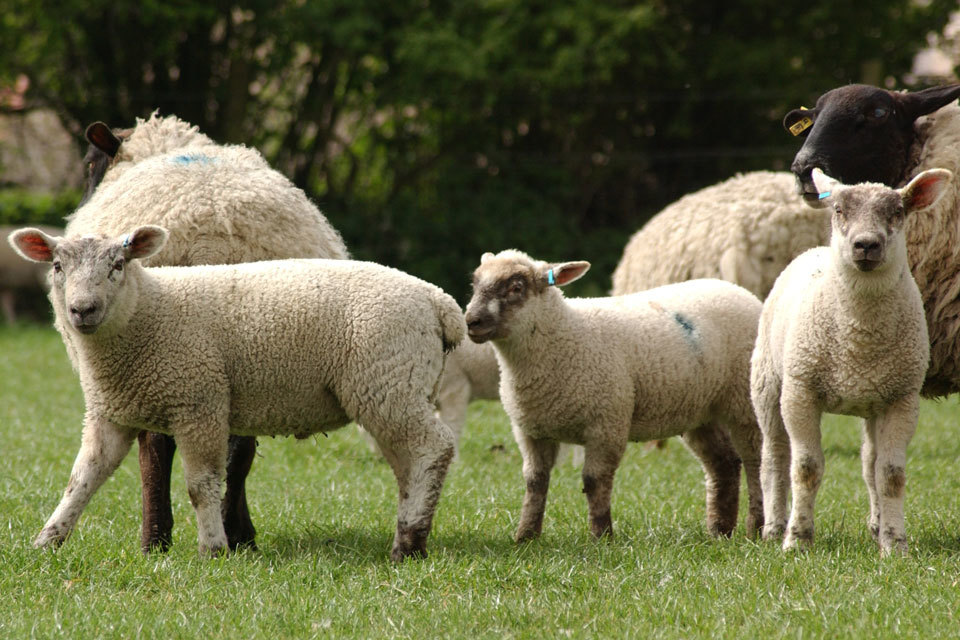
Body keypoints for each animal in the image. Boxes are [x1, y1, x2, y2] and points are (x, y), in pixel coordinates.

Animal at [10, 225, 463, 561]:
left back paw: (409, 545)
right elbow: (82, 478)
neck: (147, 312)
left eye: (118, 264)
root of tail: (438, 301)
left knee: (433, 449)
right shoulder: (111, 412)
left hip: (389, 381)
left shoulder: (200, 402)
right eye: (57, 266)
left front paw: (213, 549)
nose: (82, 310)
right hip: (395, 388)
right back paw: (409, 532)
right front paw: (47, 540)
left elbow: (202, 485)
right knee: (409, 465)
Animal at [70, 112, 350, 553]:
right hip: (255, 358)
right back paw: (238, 534)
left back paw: (156, 538)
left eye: (89, 164)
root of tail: (211, 235)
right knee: (239, 448)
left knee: (156, 447)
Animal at [464, 250, 764, 541]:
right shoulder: (530, 432)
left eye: (516, 287)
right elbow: (535, 481)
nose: (471, 321)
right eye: (475, 285)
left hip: (744, 403)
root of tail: (737, 290)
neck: (564, 335)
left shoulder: (607, 424)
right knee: (723, 463)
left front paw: (601, 537)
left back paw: (756, 528)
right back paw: (720, 530)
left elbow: (594, 480)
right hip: (701, 411)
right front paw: (525, 537)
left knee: (755, 462)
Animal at [751, 168, 950, 556]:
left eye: (897, 212)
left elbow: (890, 475)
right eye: (839, 210)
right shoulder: (800, 392)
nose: (866, 245)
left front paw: (894, 544)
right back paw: (774, 526)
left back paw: (876, 526)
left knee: (869, 462)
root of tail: (812, 250)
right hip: (768, 385)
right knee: (775, 457)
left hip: (875, 399)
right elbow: (805, 469)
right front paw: (797, 540)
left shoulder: (902, 399)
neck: (859, 340)